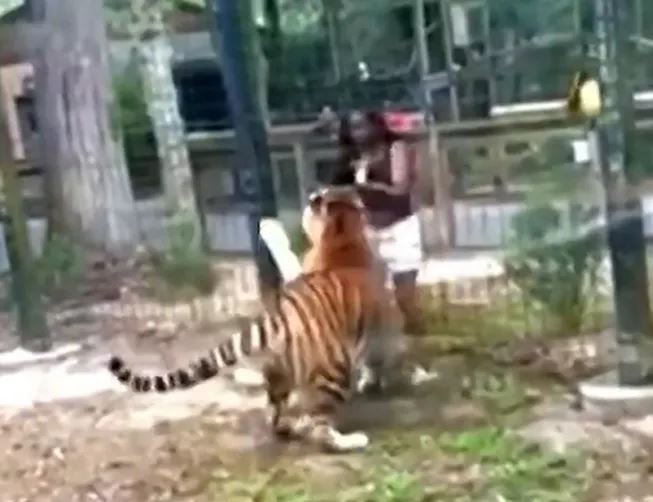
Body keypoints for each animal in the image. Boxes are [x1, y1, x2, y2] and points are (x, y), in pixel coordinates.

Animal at [108, 186, 402, 452]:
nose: (313, 195)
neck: (342, 237)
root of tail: (278, 318)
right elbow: (382, 352)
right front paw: (374, 379)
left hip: (279, 373)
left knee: (277, 418)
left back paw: (295, 426)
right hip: (333, 373)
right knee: (320, 428)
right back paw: (348, 440)